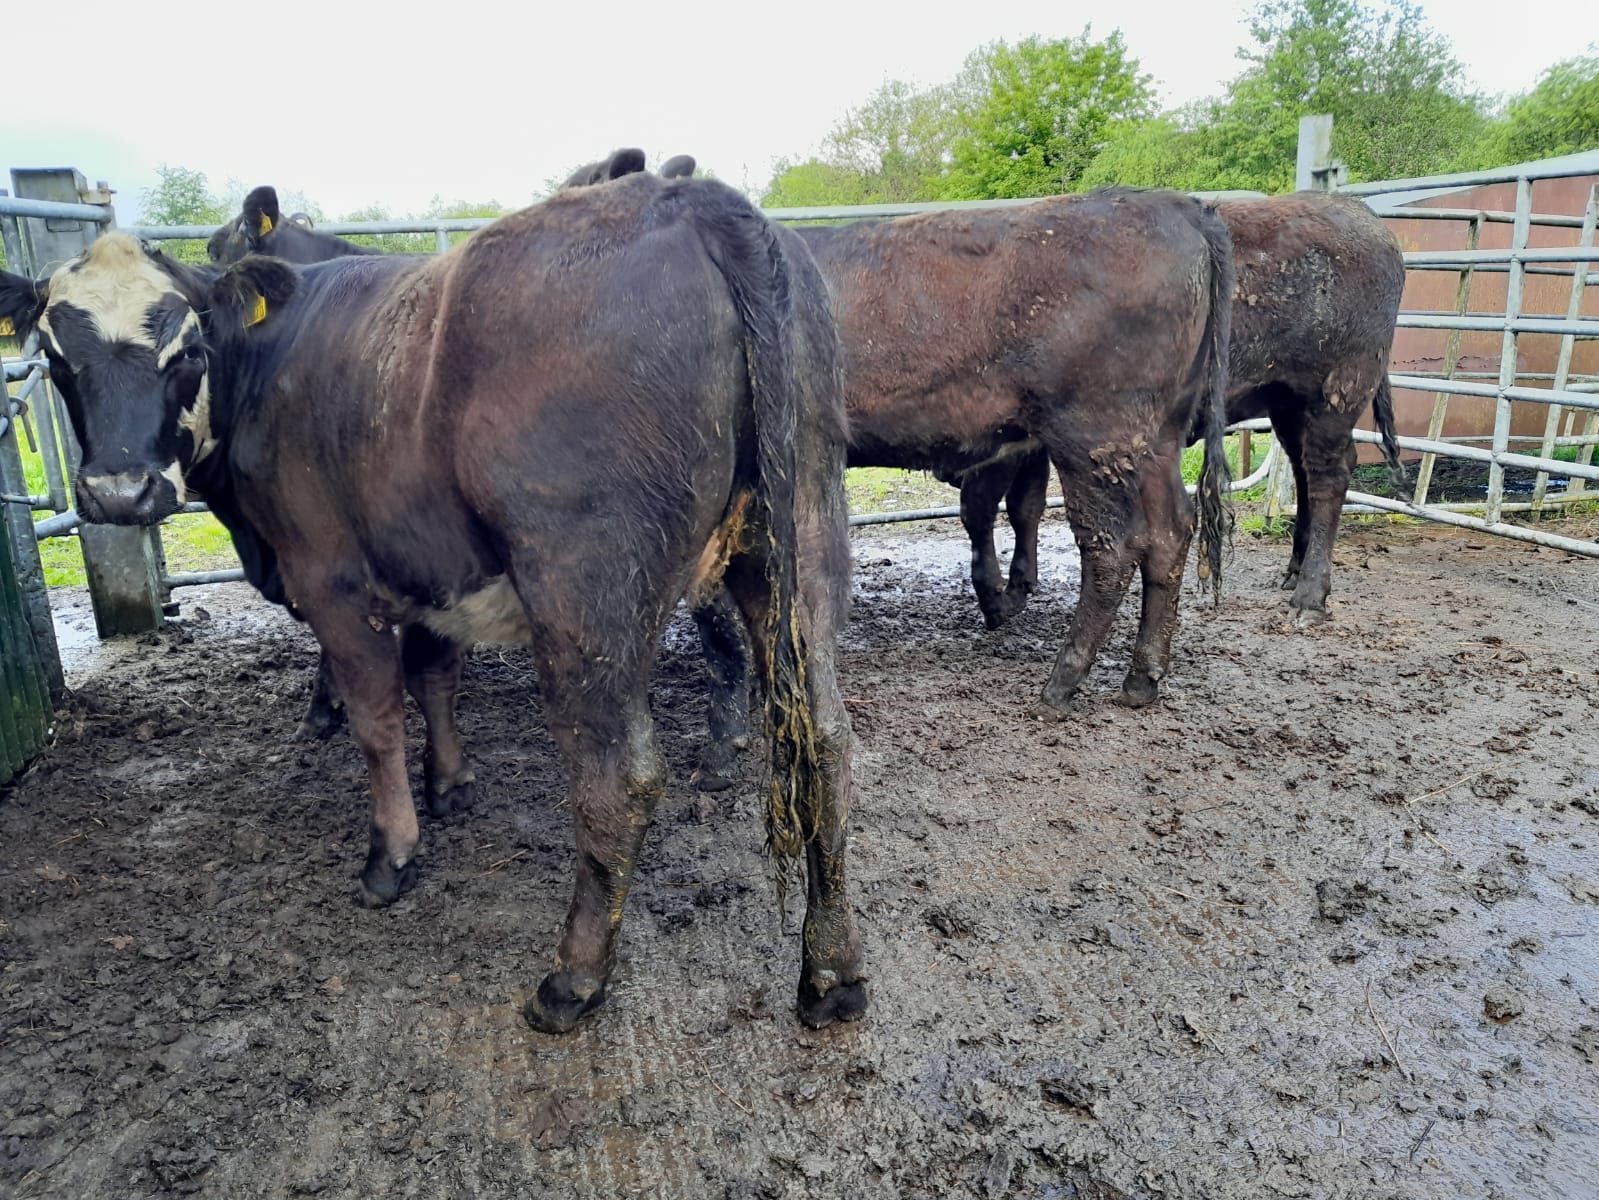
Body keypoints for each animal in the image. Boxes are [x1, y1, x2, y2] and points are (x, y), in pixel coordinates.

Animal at [0, 173, 867, 1034]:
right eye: (55, 357)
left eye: (186, 349)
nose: (118, 491)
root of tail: (690, 199)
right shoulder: (432, 568)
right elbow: (434, 678)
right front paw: (450, 784)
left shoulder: (330, 580)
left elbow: (378, 718)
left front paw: (391, 853)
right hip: (799, 543)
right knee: (824, 742)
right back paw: (831, 973)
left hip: (585, 589)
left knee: (621, 776)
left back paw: (572, 980)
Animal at [959, 192, 1408, 627]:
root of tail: (1362, 216)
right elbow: (1019, 506)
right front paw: (1013, 590)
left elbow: (987, 505)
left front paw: (998, 598)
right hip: (1287, 404)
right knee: (1304, 473)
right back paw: (1294, 572)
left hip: (1333, 397)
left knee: (1330, 477)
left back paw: (1309, 599)